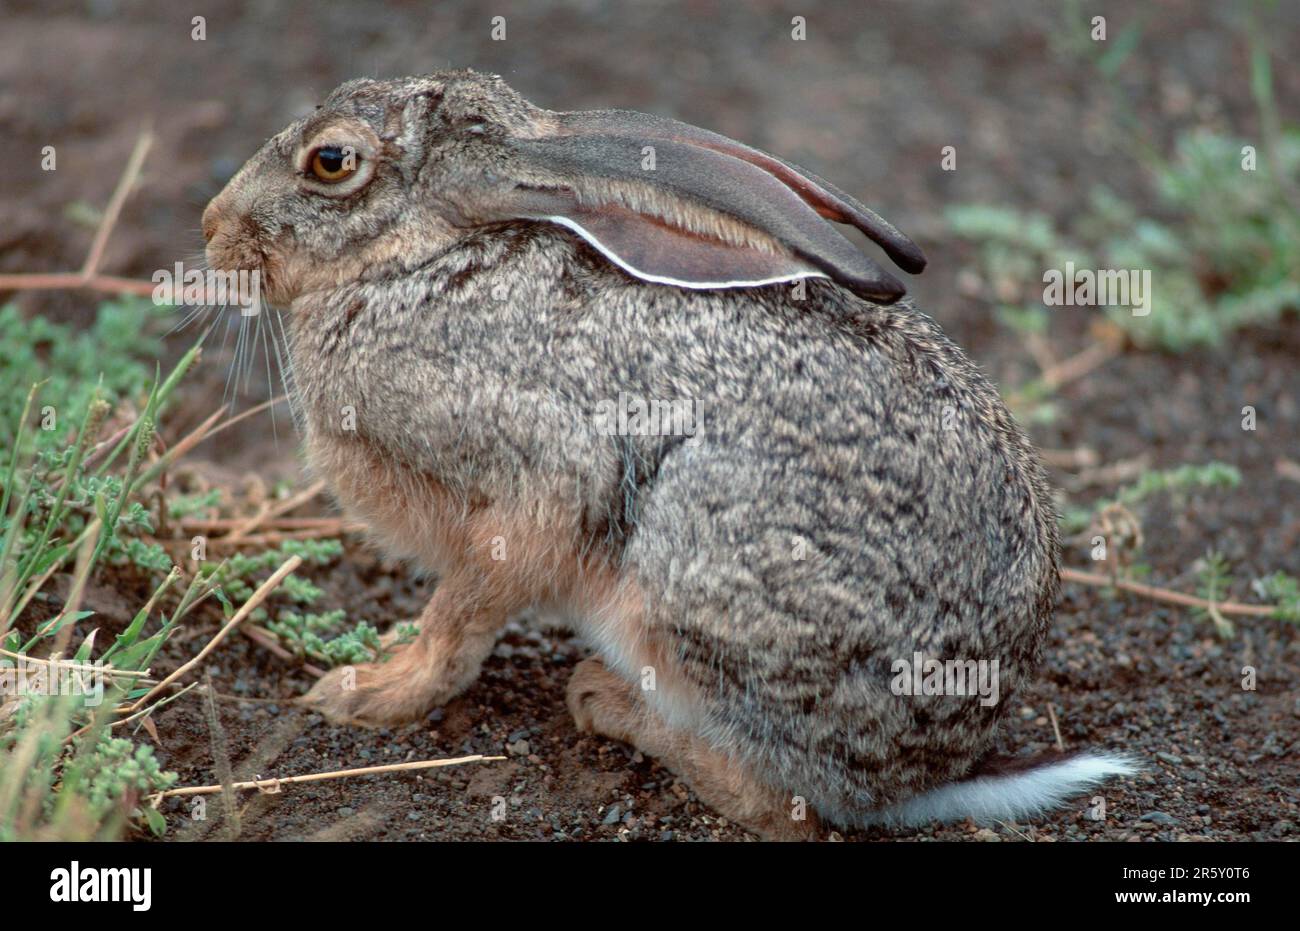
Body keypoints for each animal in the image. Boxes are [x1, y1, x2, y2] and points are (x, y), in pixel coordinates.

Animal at [202, 69, 1136, 839]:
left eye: (331, 162)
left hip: (695, 574)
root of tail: (925, 773)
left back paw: (608, 702)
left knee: (783, 805)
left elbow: (461, 619)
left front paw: (366, 691)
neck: (421, 258)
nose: (211, 229)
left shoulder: (539, 477)